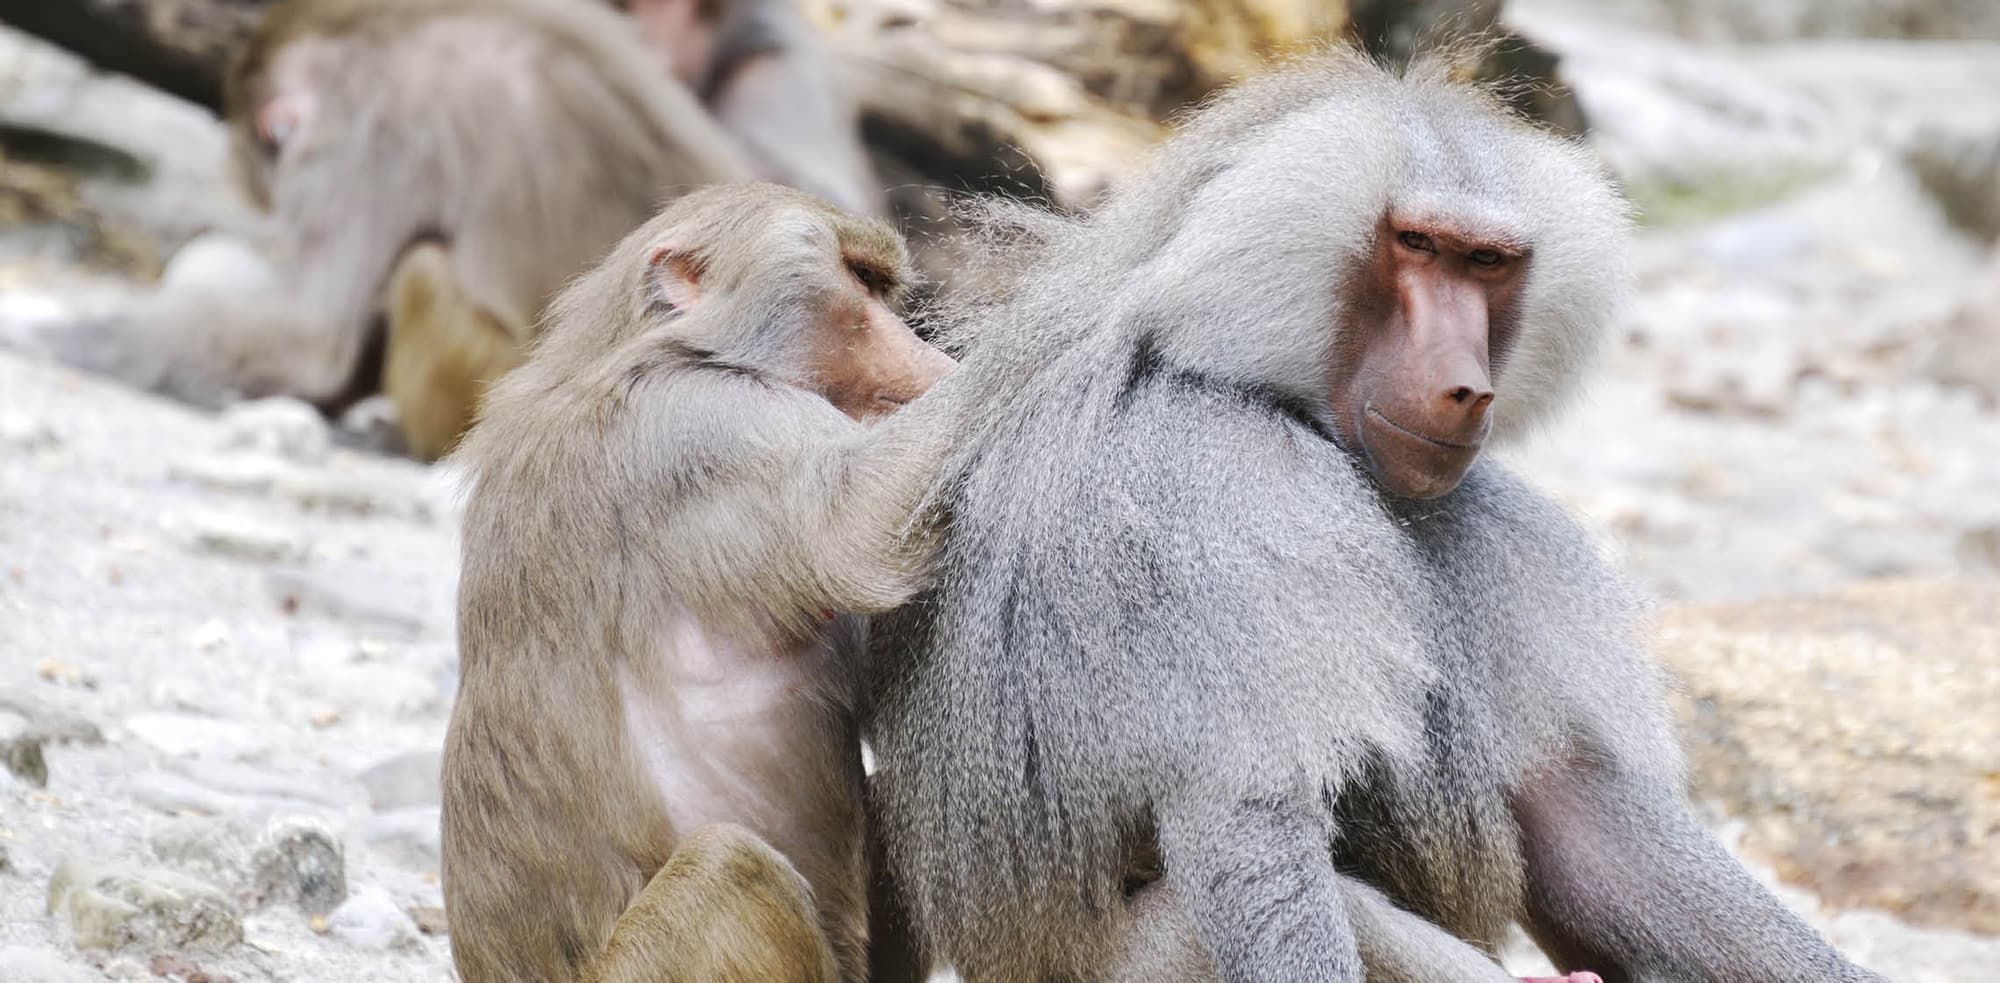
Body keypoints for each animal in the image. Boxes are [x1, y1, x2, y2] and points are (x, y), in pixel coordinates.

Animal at [441, 183, 959, 983]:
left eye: (880, 285)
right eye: (860, 280)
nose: (927, 359)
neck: (643, 343)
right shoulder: (702, 425)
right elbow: (854, 523)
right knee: (730, 868)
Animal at [863, 50, 1888, 983]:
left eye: (1487, 264)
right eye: (1417, 245)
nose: (1466, 388)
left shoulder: (1471, 518)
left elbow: (1578, 809)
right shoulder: (1224, 485)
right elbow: (1251, 821)